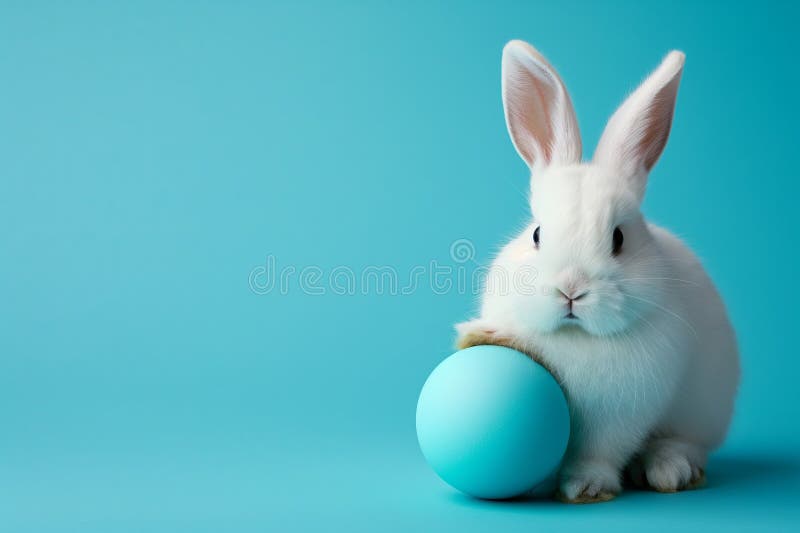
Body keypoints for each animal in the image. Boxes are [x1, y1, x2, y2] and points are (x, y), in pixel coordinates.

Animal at [456, 40, 739, 503]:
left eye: (619, 239)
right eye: (537, 234)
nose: (571, 290)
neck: (576, 338)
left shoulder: (619, 417)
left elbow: (598, 453)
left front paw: (586, 487)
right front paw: (483, 334)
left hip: (704, 410)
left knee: (687, 443)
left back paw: (670, 469)